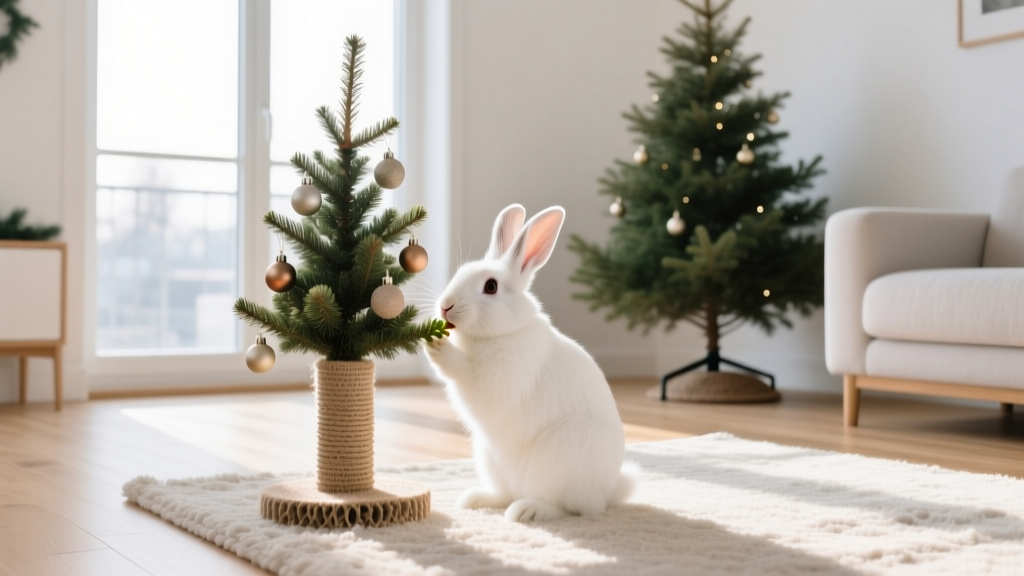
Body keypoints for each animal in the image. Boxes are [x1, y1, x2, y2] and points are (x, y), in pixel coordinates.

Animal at [424, 204, 637, 523]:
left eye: (491, 286)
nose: (445, 306)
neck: (504, 332)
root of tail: (609, 491)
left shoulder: (495, 381)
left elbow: (465, 372)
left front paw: (437, 346)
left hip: (560, 455)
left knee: (572, 508)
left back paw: (527, 511)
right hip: (489, 457)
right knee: (506, 493)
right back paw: (474, 499)